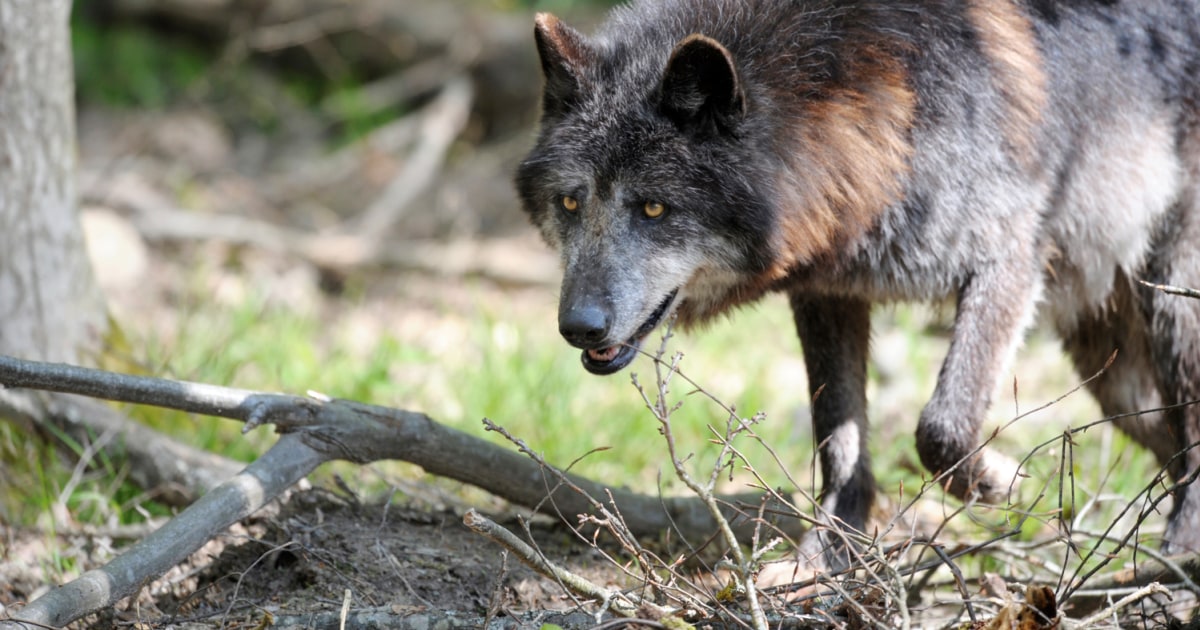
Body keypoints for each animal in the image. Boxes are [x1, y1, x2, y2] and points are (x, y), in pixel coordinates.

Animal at [515, 0, 1200, 566]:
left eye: (653, 209)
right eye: (571, 202)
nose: (578, 327)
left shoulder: (1008, 257)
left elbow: (940, 428)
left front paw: (997, 481)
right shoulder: (829, 292)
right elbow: (838, 440)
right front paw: (829, 557)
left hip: (1171, 311)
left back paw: (1178, 549)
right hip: (1116, 378)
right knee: (1168, 440)